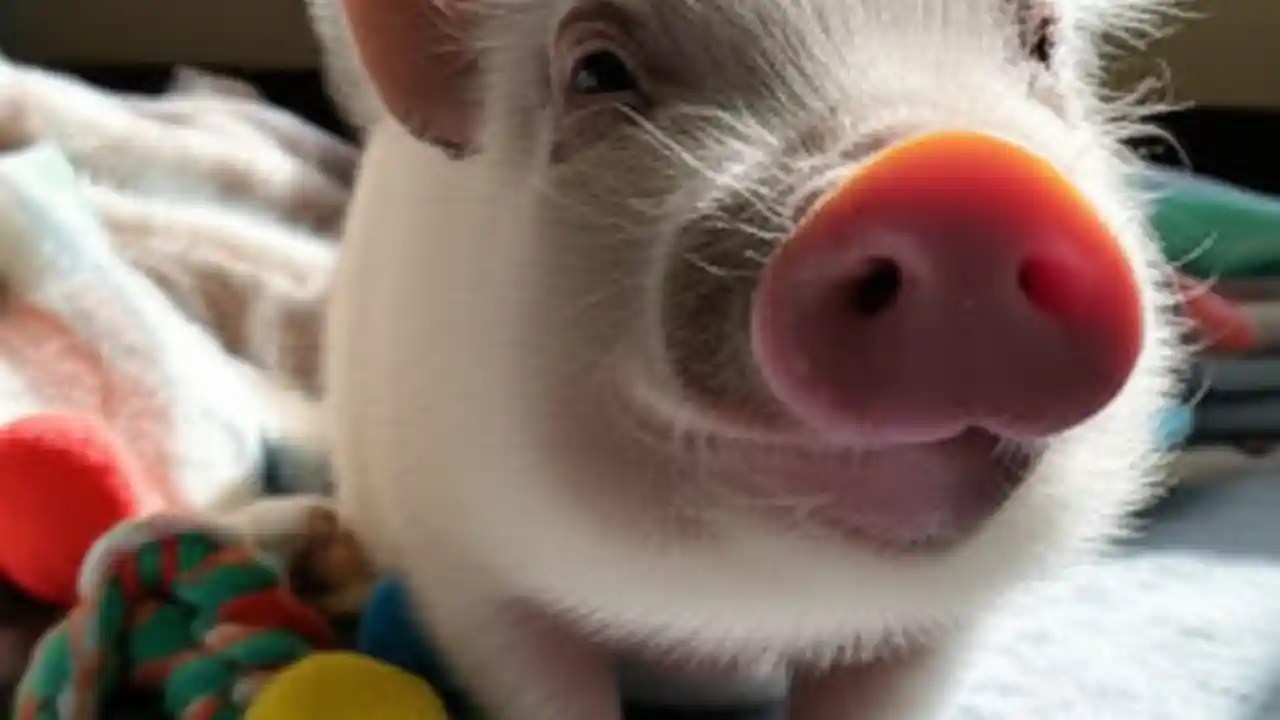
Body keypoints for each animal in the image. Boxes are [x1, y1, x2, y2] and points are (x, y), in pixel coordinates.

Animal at [311, 0, 1184, 717]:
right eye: (598, 70)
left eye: (1041, 45)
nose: (960, 178)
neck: (734, 614)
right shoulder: (467, 572)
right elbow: (542, 685)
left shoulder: (932, 626)